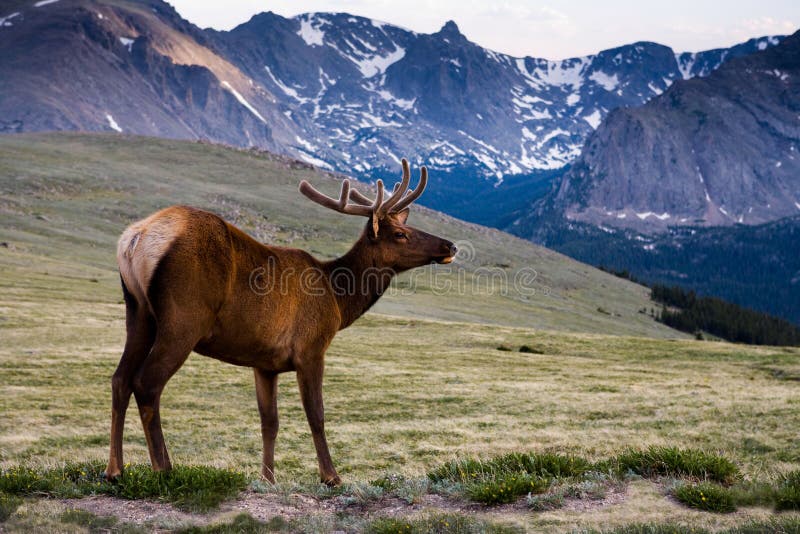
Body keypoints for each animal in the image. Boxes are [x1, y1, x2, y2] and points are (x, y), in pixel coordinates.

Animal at [104, 159, 456, 486]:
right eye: (400, 234)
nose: (450, 245)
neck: (338, 298)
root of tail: (135, 239)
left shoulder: (265, 362)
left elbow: (269, 421)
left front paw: (268, 478)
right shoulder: (311, 348)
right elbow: (316, 414)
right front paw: (331, 476)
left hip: (138, 312)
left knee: (120, 379)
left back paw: (114, 470)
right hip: (183, 318)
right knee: (146, 383)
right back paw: (163, 468)